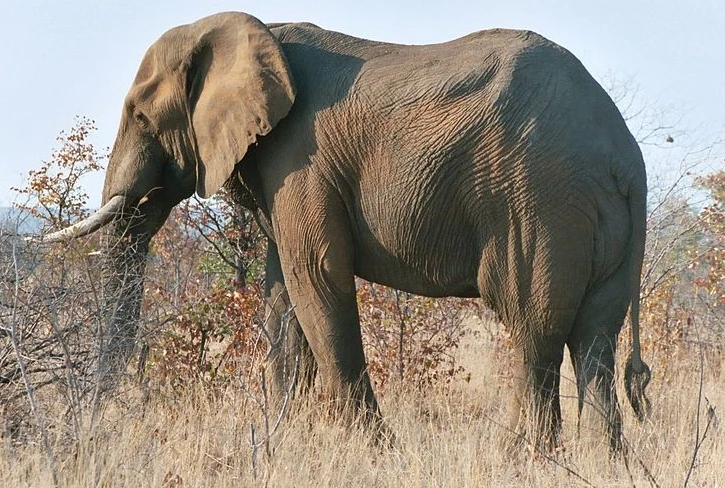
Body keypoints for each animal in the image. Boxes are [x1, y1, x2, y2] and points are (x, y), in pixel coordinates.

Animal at [44, 11, 651, 450]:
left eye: (141, 117)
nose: (97, 424)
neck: (251, 30)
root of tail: (627, 158)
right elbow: (284, 296)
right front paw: (284, 442)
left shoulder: (302, 157)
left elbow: (316, 276)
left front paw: (377, 452)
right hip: (594, 218)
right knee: (595, 340)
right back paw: (603, 462)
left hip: (541, 202)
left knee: (534, 330)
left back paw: (520, 460)